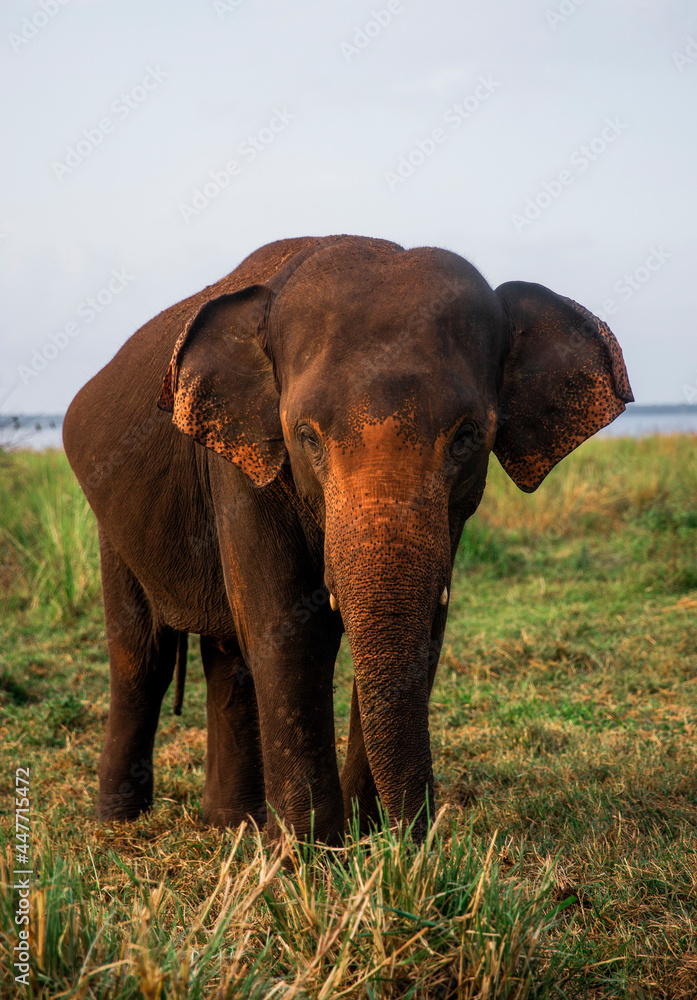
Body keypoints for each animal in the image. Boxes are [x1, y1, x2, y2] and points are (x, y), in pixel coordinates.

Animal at [63, 234, 633, 843]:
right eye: (306, 436)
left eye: (469, 436)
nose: (418, 833)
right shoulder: (242, 468)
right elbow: (287, 630)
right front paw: (310, 852)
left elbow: (423, 632)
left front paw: (368, 842)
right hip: (110, 521)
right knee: (139, 656)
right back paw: (120, 825)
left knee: (226, 656)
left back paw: (232, 826)